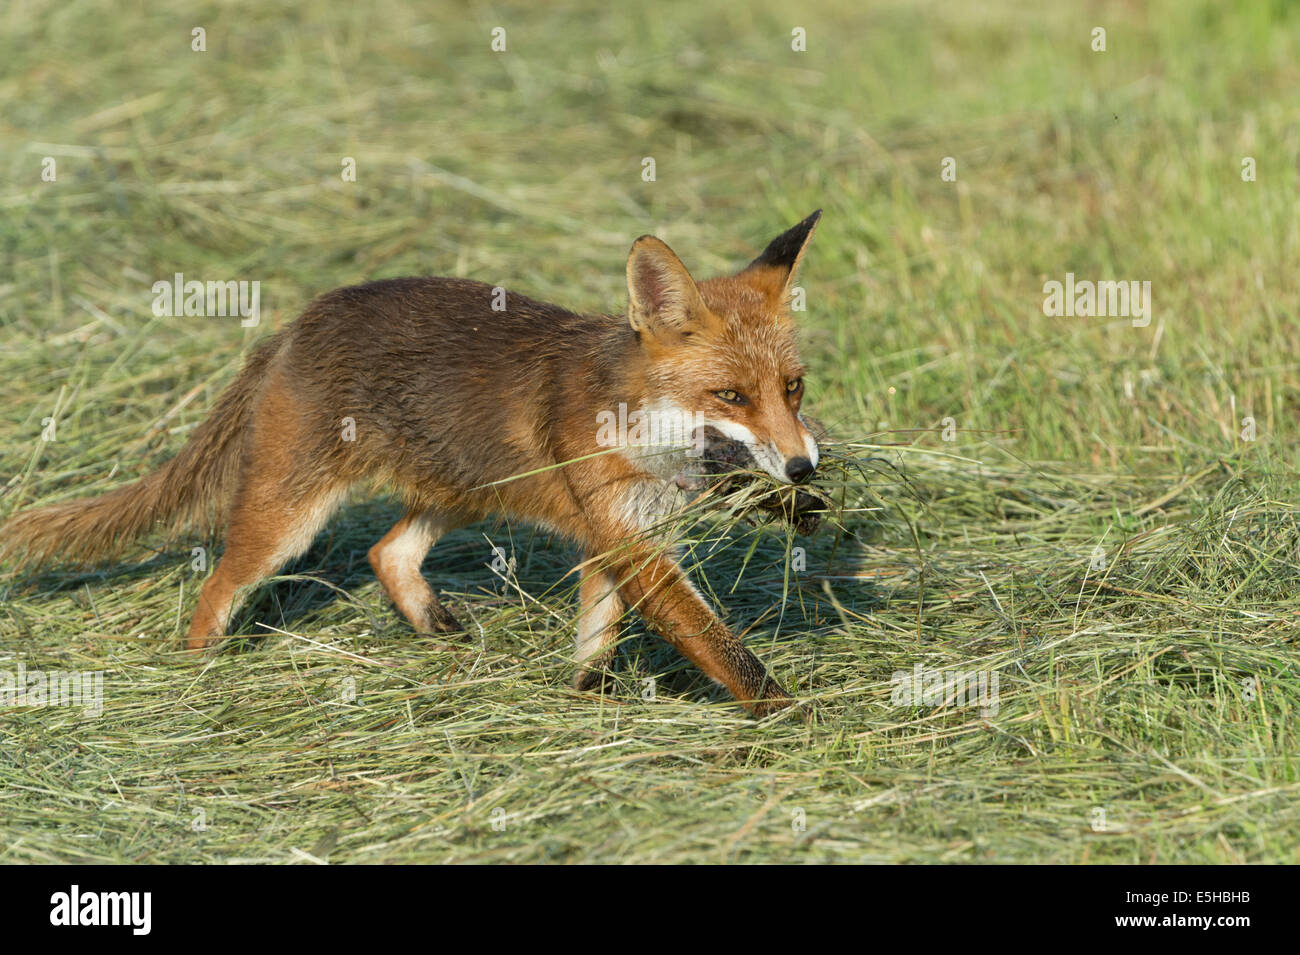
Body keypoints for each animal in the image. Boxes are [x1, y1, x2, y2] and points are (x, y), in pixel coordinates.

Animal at [0, 210, 825, 717]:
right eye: (731, 394)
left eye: (792, 387)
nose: (802, 471)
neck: (640, 431)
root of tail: (294, 324)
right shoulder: (630, 542)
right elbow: (723, 649)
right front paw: (790, 722)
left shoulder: (624, 537)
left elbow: (597, 640)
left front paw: (587, 703)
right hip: (288, 520)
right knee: (218, 586)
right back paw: (197, 676)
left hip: (462, 491)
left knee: (384, 550)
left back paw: (435, 626)